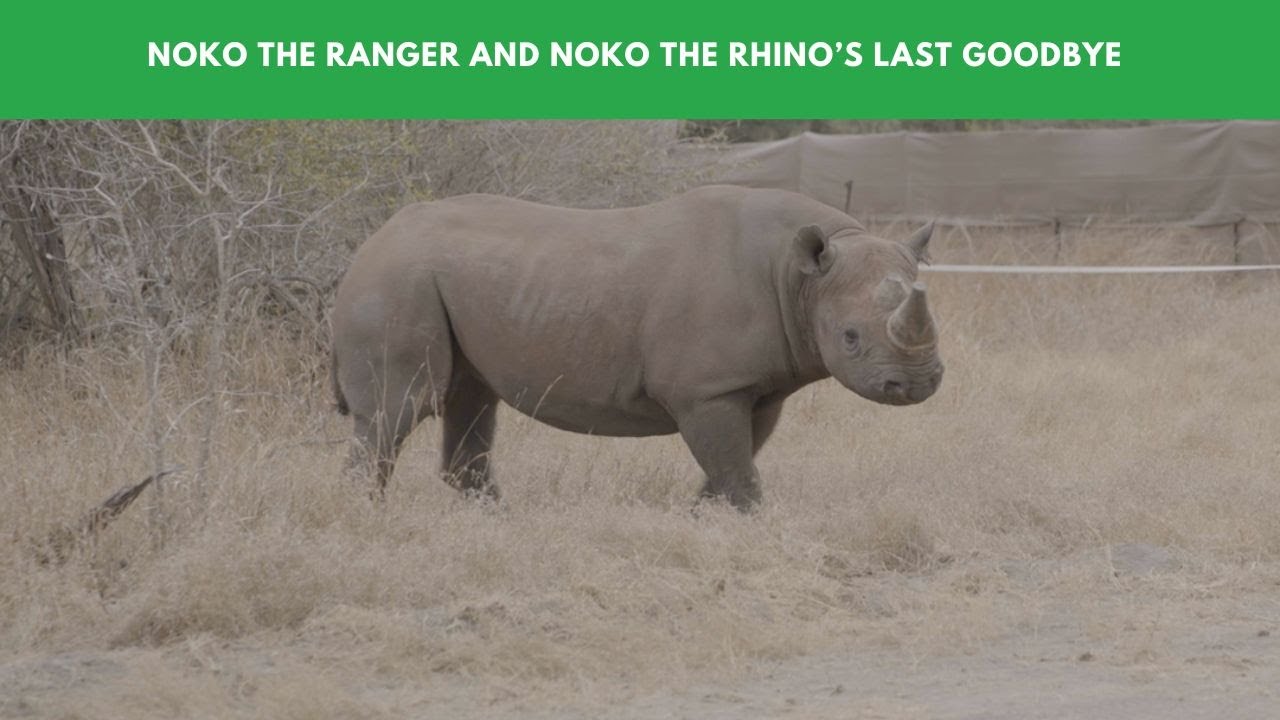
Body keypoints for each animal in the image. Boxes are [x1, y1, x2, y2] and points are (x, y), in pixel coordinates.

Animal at [330, 185, 943, 509]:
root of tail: (369, 242)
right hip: (397, 279)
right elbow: (736, 470)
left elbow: (733, 467)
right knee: (400, 409)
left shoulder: (754, 387)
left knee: (471, 401)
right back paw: (368, 518)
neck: (801, 277)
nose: (916, 385)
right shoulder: (707, 389)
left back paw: (492, 519)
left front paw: (704, 520)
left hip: (443, 282)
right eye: (850, 338)